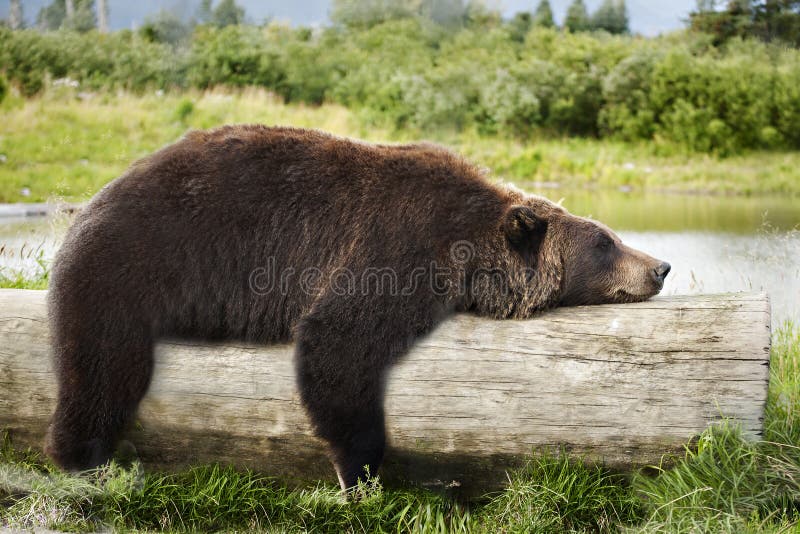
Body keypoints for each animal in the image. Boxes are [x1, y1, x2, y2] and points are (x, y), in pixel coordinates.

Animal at [45, 125, 670, 491]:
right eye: (606, 242)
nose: (661, 266)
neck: (471, 247)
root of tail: (91, 201)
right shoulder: (400, 244)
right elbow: (337, 341)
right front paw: (360, 468)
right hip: (134, 262)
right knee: (103, 363)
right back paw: (78, 452)